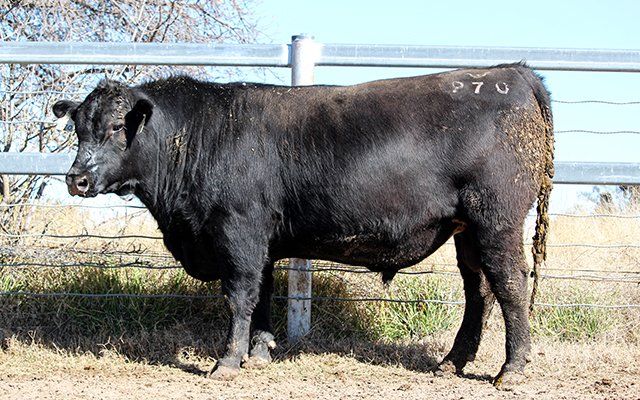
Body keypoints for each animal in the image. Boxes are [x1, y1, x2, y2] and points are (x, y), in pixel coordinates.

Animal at [53, 62, 553, 389]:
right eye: (79, 128)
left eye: (117, 127)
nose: (76, 179)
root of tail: (514, 72)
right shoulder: (262, 242)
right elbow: (262, 294)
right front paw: (259, 352)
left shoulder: (238, 232)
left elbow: (239, 295)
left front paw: (227, 362)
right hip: (467, 229)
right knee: (479, 291)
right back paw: (452, 362)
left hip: (497, 220)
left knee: (509, 285)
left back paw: (511, 370)